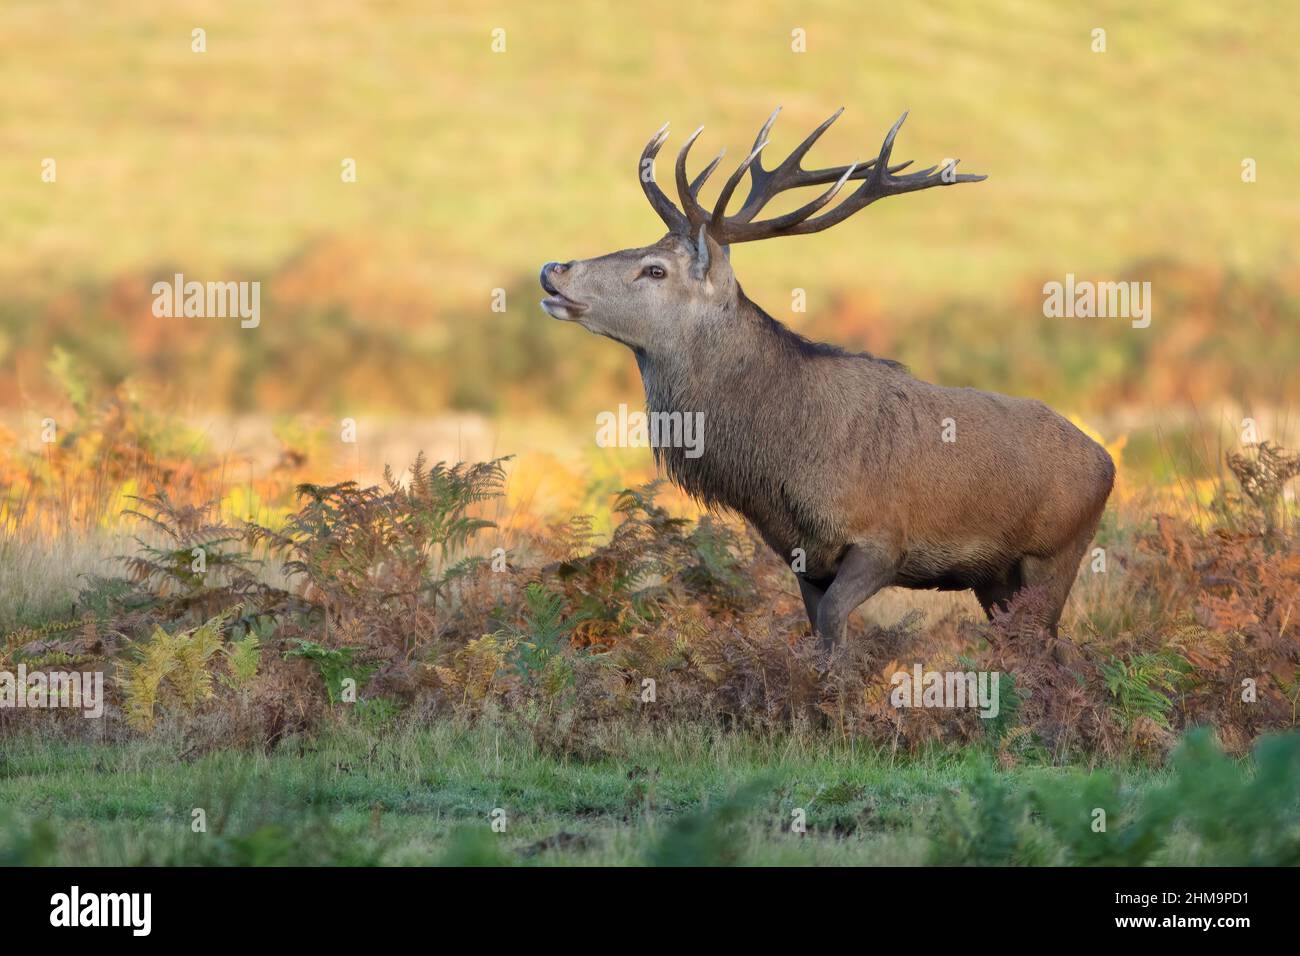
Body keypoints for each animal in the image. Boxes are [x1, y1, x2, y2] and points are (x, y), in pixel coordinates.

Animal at [539, 107, 1115, 651]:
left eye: (655, 269)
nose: (553, 268)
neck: (782, 467)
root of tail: (1106, 460)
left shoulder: (883, 539)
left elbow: (838, 626)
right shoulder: (803, 556)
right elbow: (818, 633)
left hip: (1054, 555)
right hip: (994, 578)